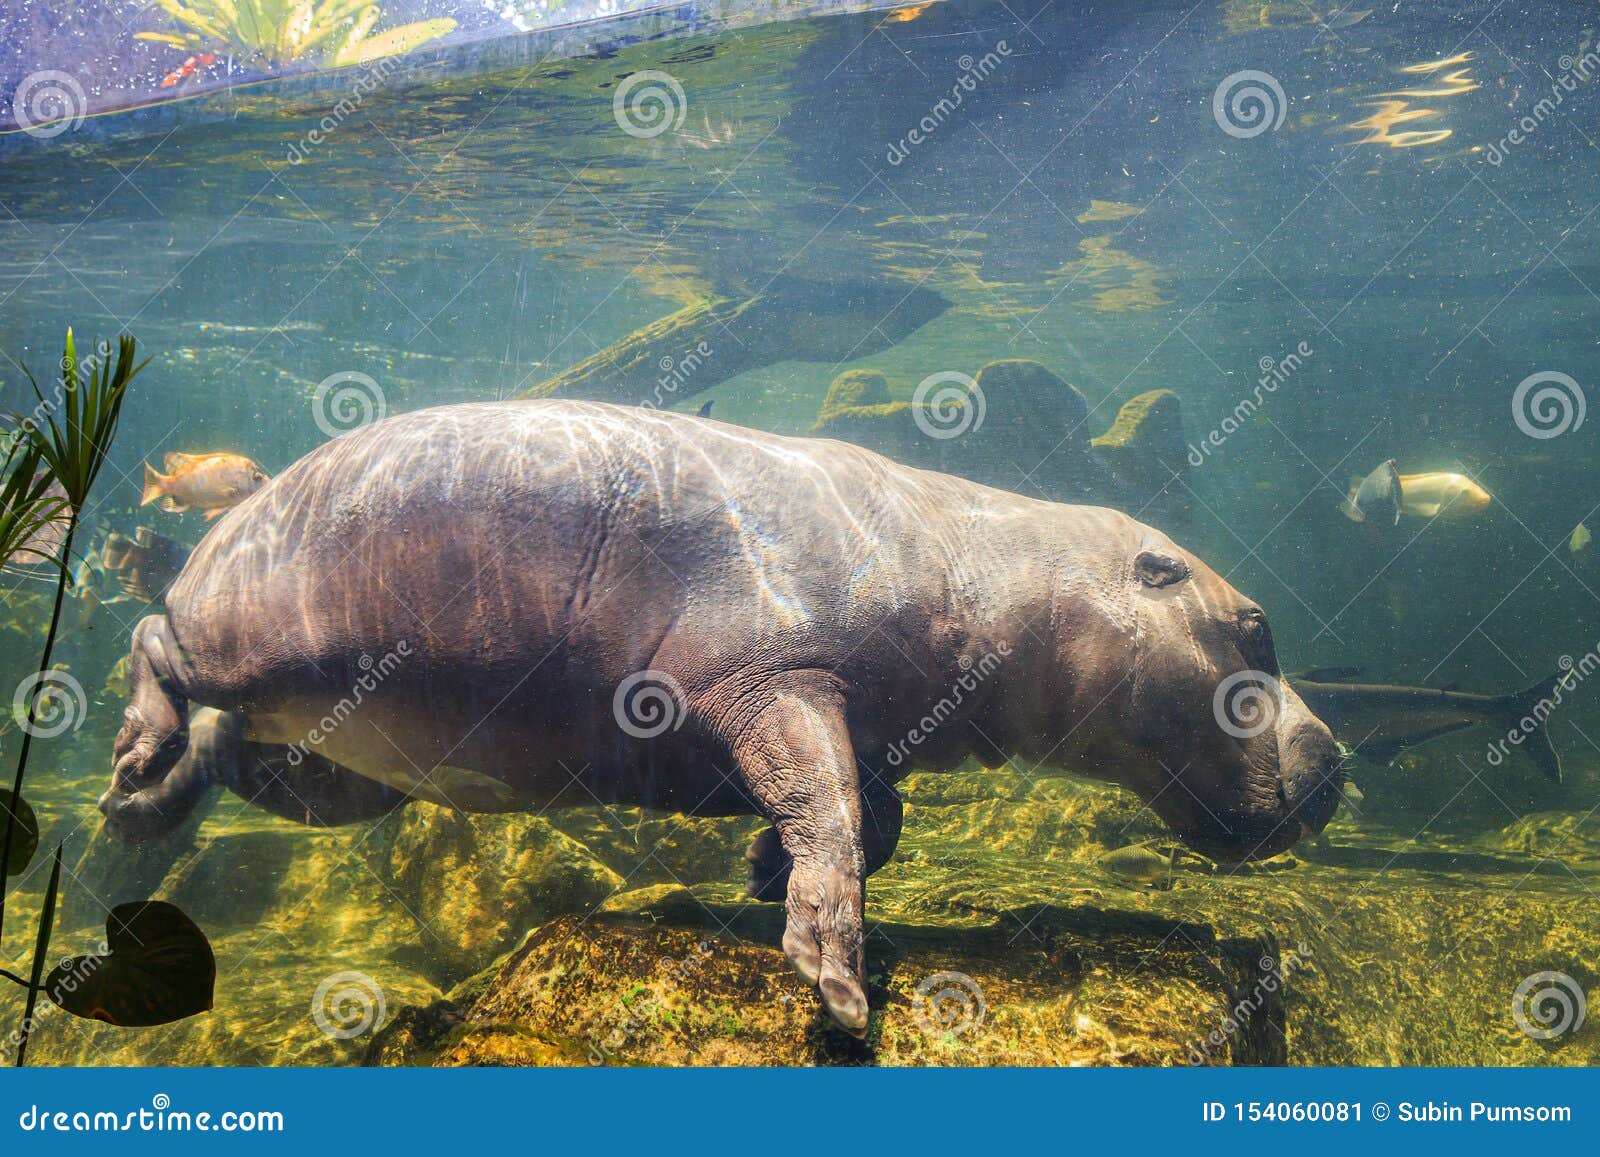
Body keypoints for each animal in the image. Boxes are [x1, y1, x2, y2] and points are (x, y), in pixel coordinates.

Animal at [102, 400, 1343, 1035]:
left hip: (340, 758)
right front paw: (837, 986)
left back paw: (143, 803)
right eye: (1258, 630)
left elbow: (864, 809)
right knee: (156, 644)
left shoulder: (865, 726)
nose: (1336, 758)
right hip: (255, 630)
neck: (993, 568)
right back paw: (127, 767)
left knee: (231, 745)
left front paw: (757, 871)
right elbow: (829, 805)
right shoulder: (772, 675)